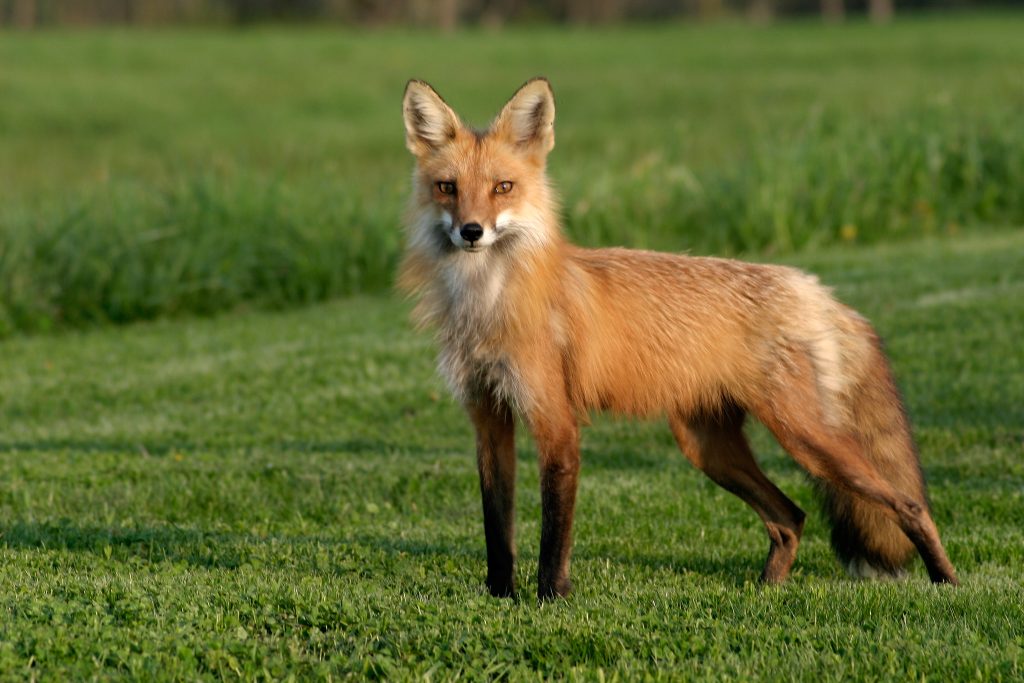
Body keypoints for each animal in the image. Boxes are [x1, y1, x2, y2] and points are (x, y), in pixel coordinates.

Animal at [398, 77, 958, 600]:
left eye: (503, 187)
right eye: (447, 187)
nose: (472, 231)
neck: (487, 302)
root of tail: (813, 288)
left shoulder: (556, 424)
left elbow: (553, 535)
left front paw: (549, 599)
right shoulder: (488, 419)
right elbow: (498, 529)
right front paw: (499, 596)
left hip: (806, 439)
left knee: (909, 505)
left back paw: (947, 582)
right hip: (708, 447)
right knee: (791, 518)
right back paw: (765, 592)